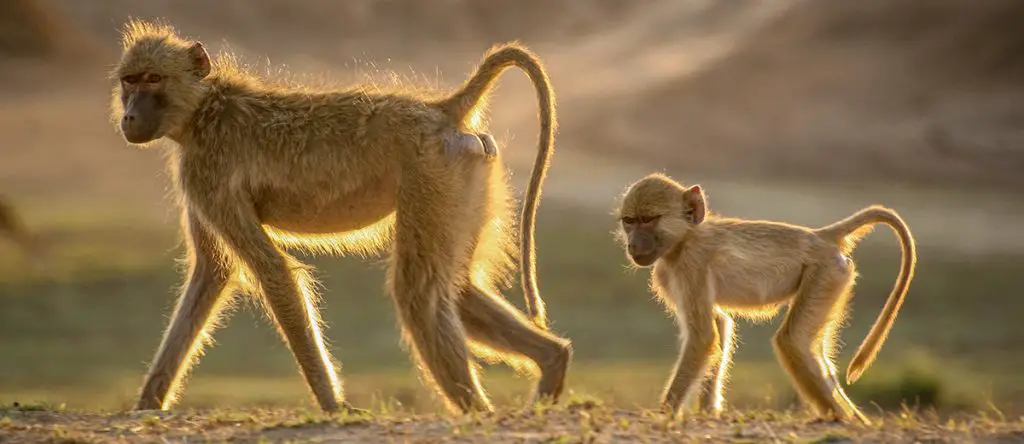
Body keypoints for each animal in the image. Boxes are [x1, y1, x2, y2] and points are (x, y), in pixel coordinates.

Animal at [109, 19, 572, 415]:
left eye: (153, 80)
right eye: (129, 81)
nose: (129, 117)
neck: (203, 108)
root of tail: (442, 110)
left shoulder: (207, 172)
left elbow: (273, 271)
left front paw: (333, 405)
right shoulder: (198, 177)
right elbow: (212, 272)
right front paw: (147, 405)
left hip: (434, 174)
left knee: (419, 292)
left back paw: (479, 410)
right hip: (465, 177)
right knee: (458, 291)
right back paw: (552, 362)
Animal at [615, 173, 916, 424]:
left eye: (649, 219)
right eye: (629, 221)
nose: (633, 245)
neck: (684, 238)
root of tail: (821, 236)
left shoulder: (691, 264)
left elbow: (703, 338)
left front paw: (665, 415)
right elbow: (720, 325)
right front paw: (709, 411)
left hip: (825, 274)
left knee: (792, 340)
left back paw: (841, 419)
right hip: (834, 275)